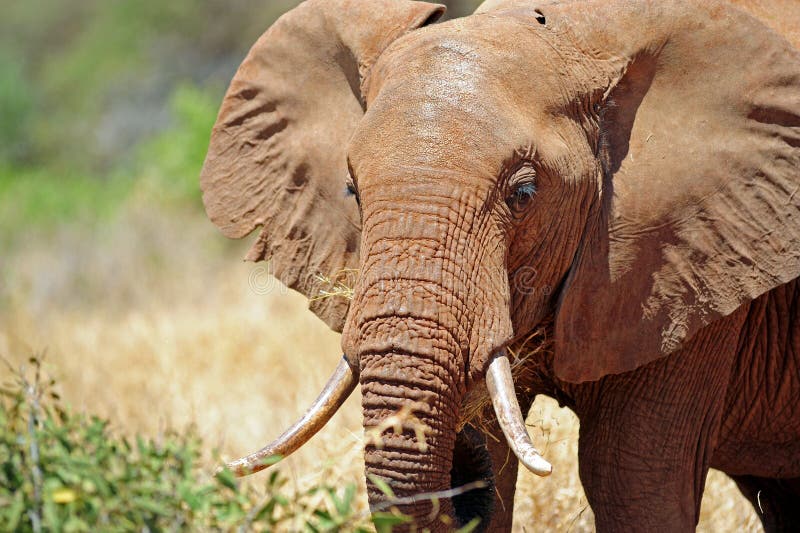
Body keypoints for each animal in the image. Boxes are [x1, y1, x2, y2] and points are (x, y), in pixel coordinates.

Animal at [199, 0, 800, 530]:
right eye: (351, 191)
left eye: (524, 193)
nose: (463, 473)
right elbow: (503, 460)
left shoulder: (679, 261)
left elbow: (630, 481)